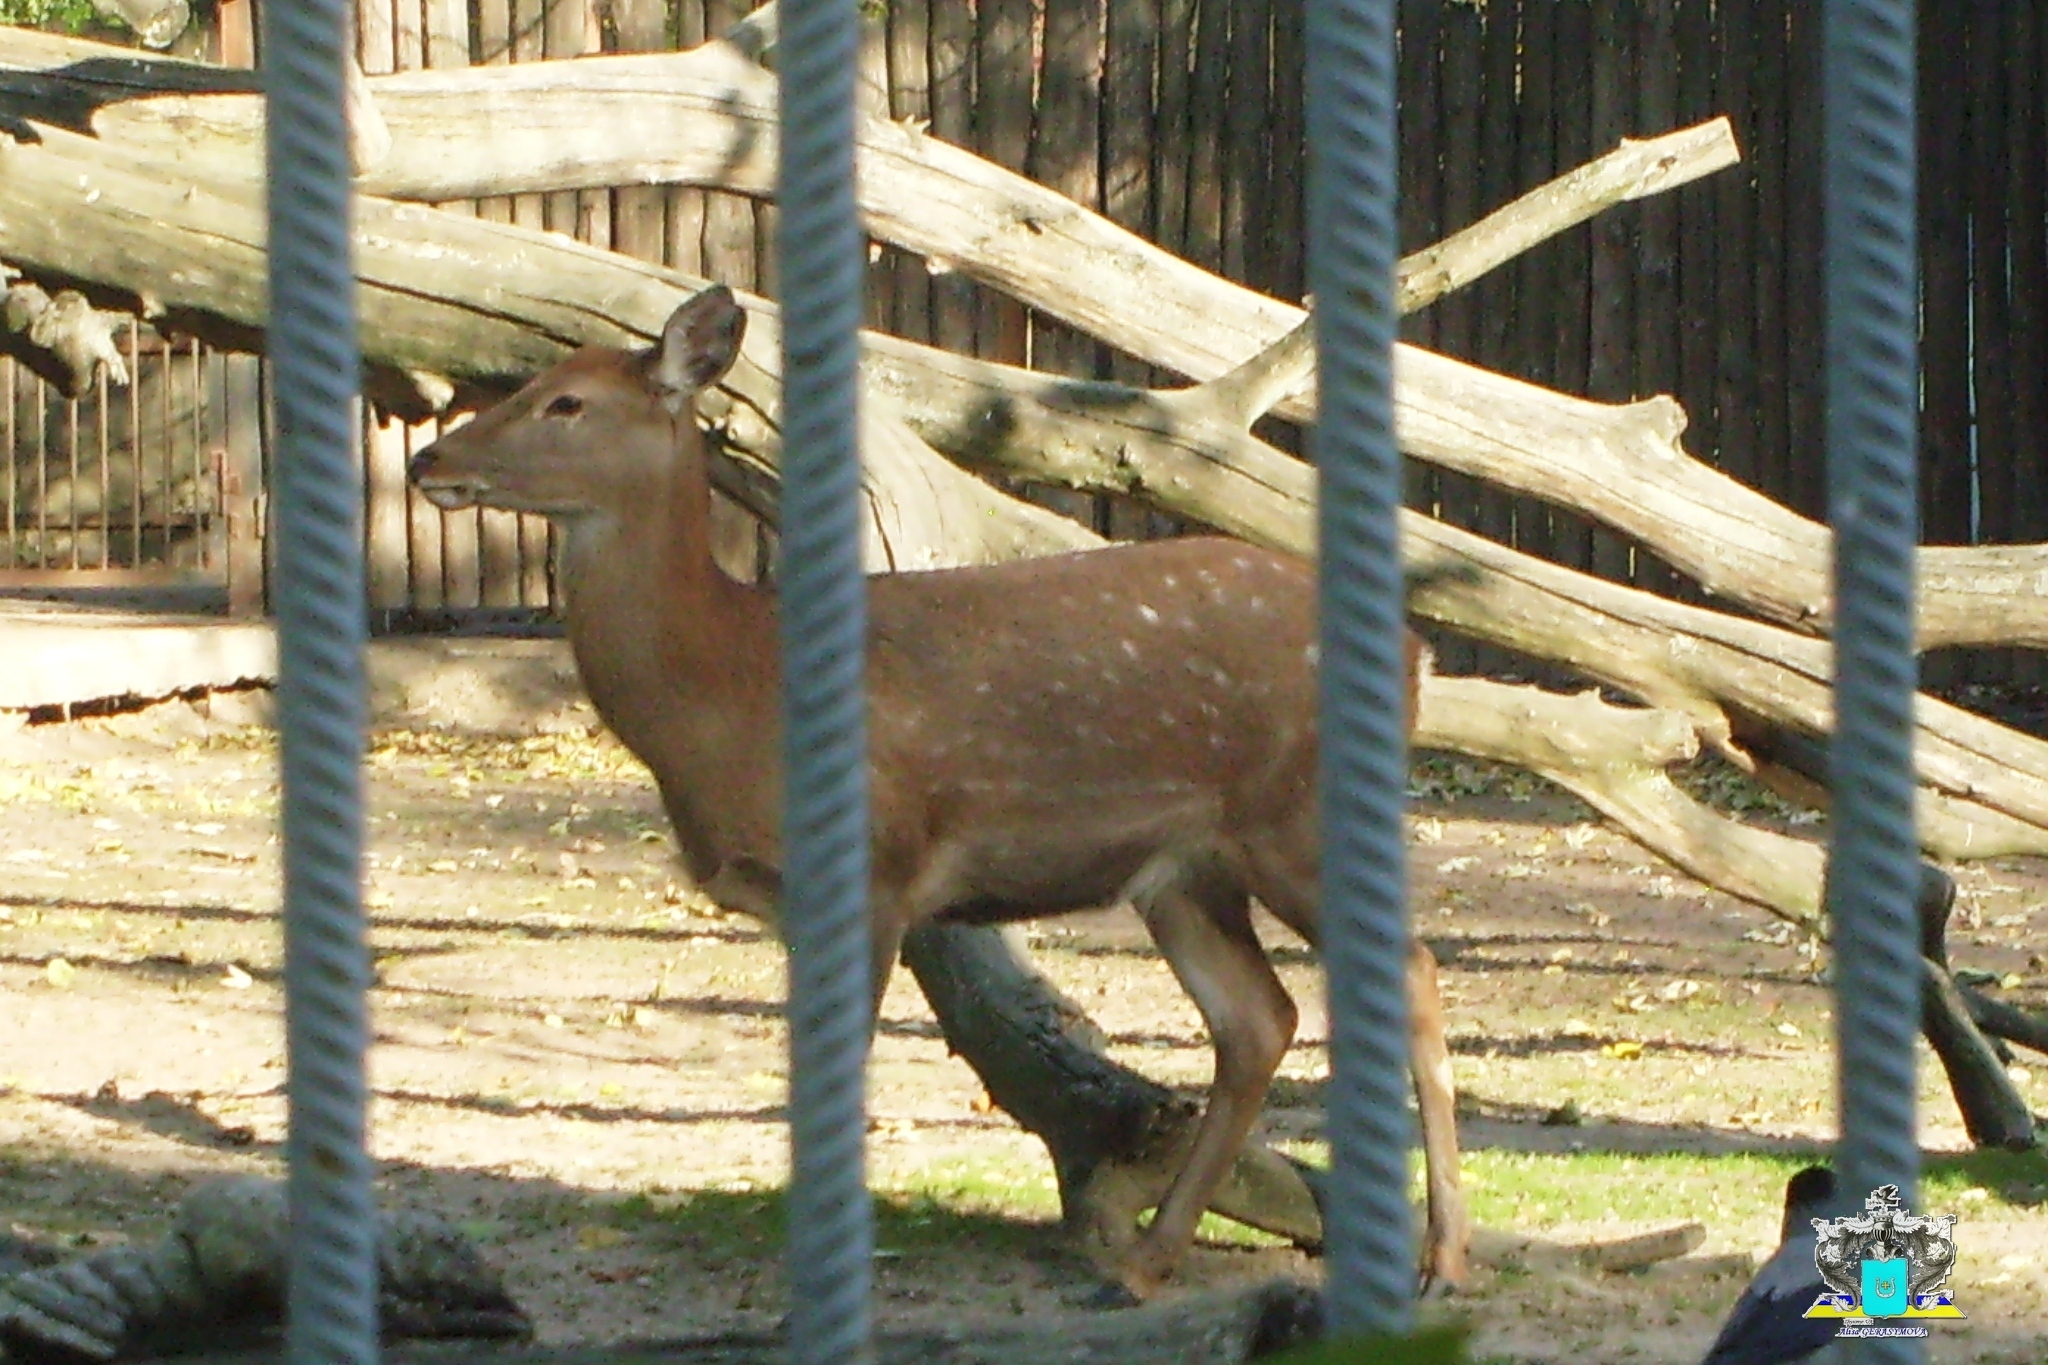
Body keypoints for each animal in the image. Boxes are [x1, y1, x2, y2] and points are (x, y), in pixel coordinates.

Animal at [407, 283, 1469, 1303]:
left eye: (567, 402)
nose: (428, 459)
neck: (730, 690)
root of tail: (1420, 652)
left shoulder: (876, 867)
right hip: (1183, 869)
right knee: (1259, 1019)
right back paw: (1142, 1265)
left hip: (1292, 815)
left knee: (1409, 970)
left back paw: (1443, 1258)